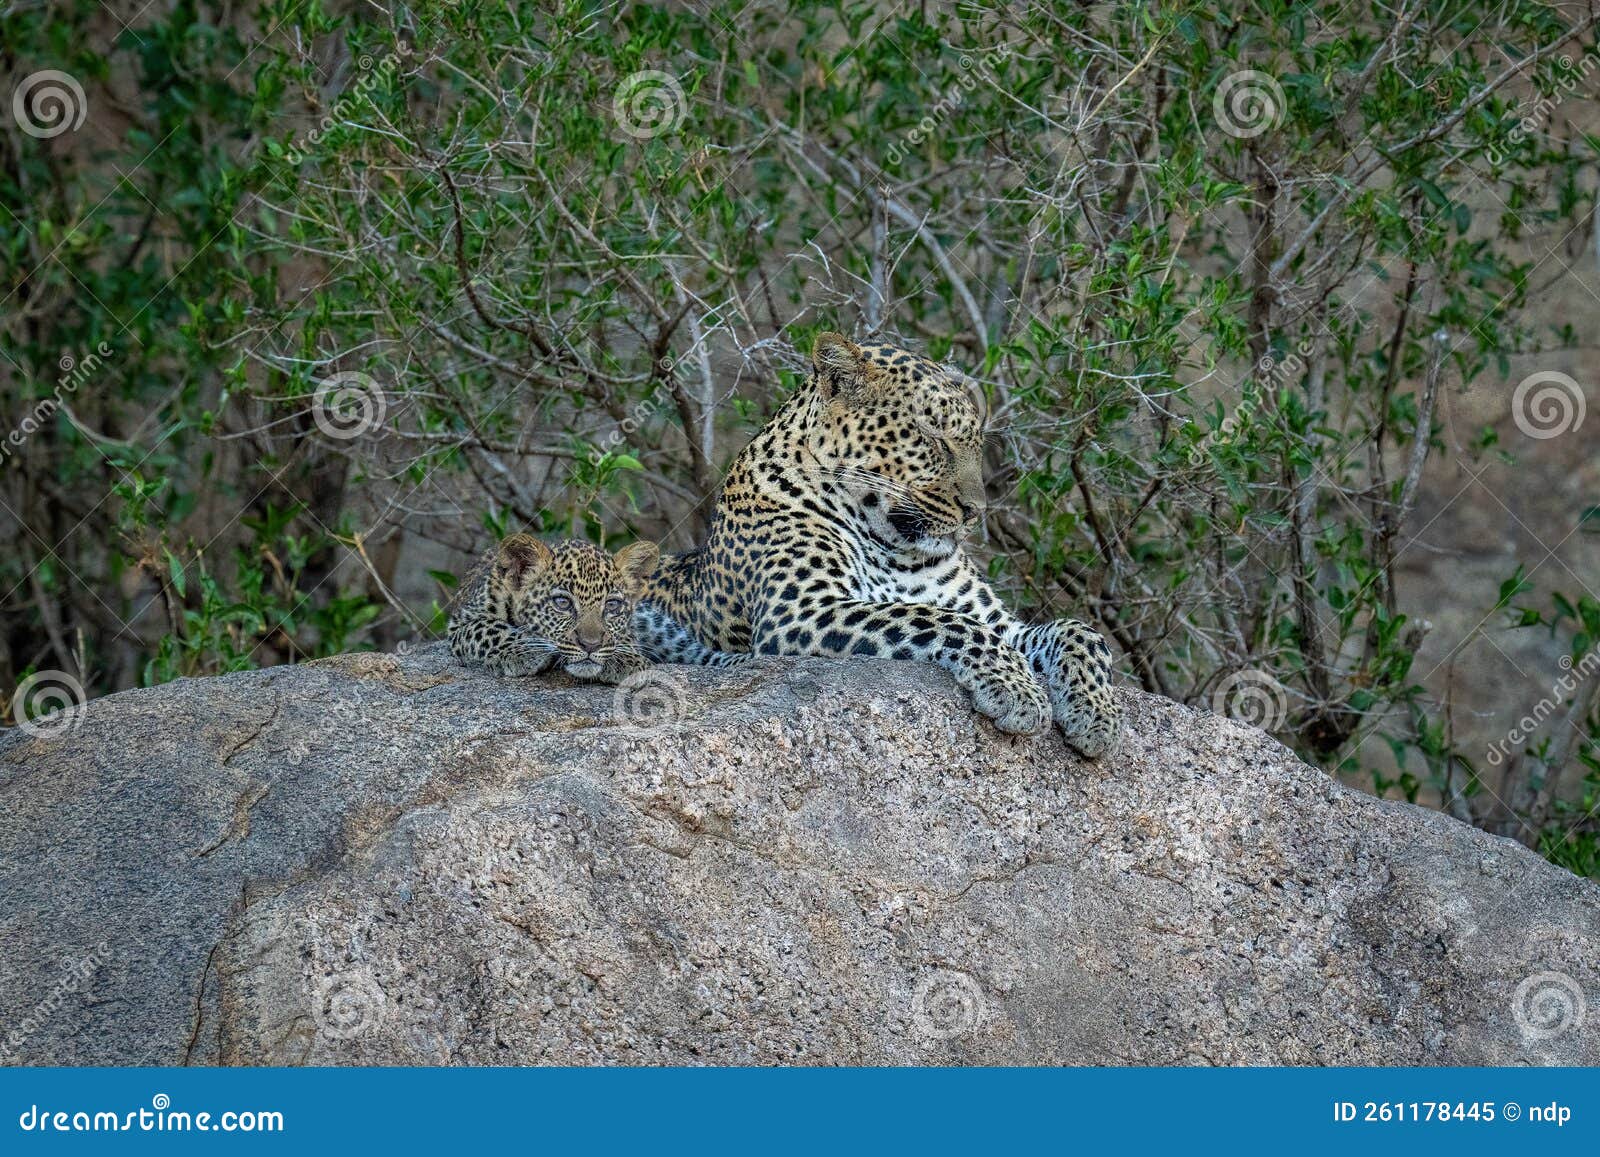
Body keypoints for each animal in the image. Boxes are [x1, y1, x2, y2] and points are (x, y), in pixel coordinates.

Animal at [448, 536, 666, 683]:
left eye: (612, 605)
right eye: (562, 602)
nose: (591, 645)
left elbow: (624, 637)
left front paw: (627, 659)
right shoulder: (457, 626)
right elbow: (487, 628)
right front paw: (522, 650)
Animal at [634, 332, 1122, 757]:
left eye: (975, 444)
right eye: (932, 437)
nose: (976, 512)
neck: (896, 548)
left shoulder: (1003, 623)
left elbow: (1078, 631)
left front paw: (1097, 715)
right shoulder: (800, 612)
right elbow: (939, 620)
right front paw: (1017, 690)